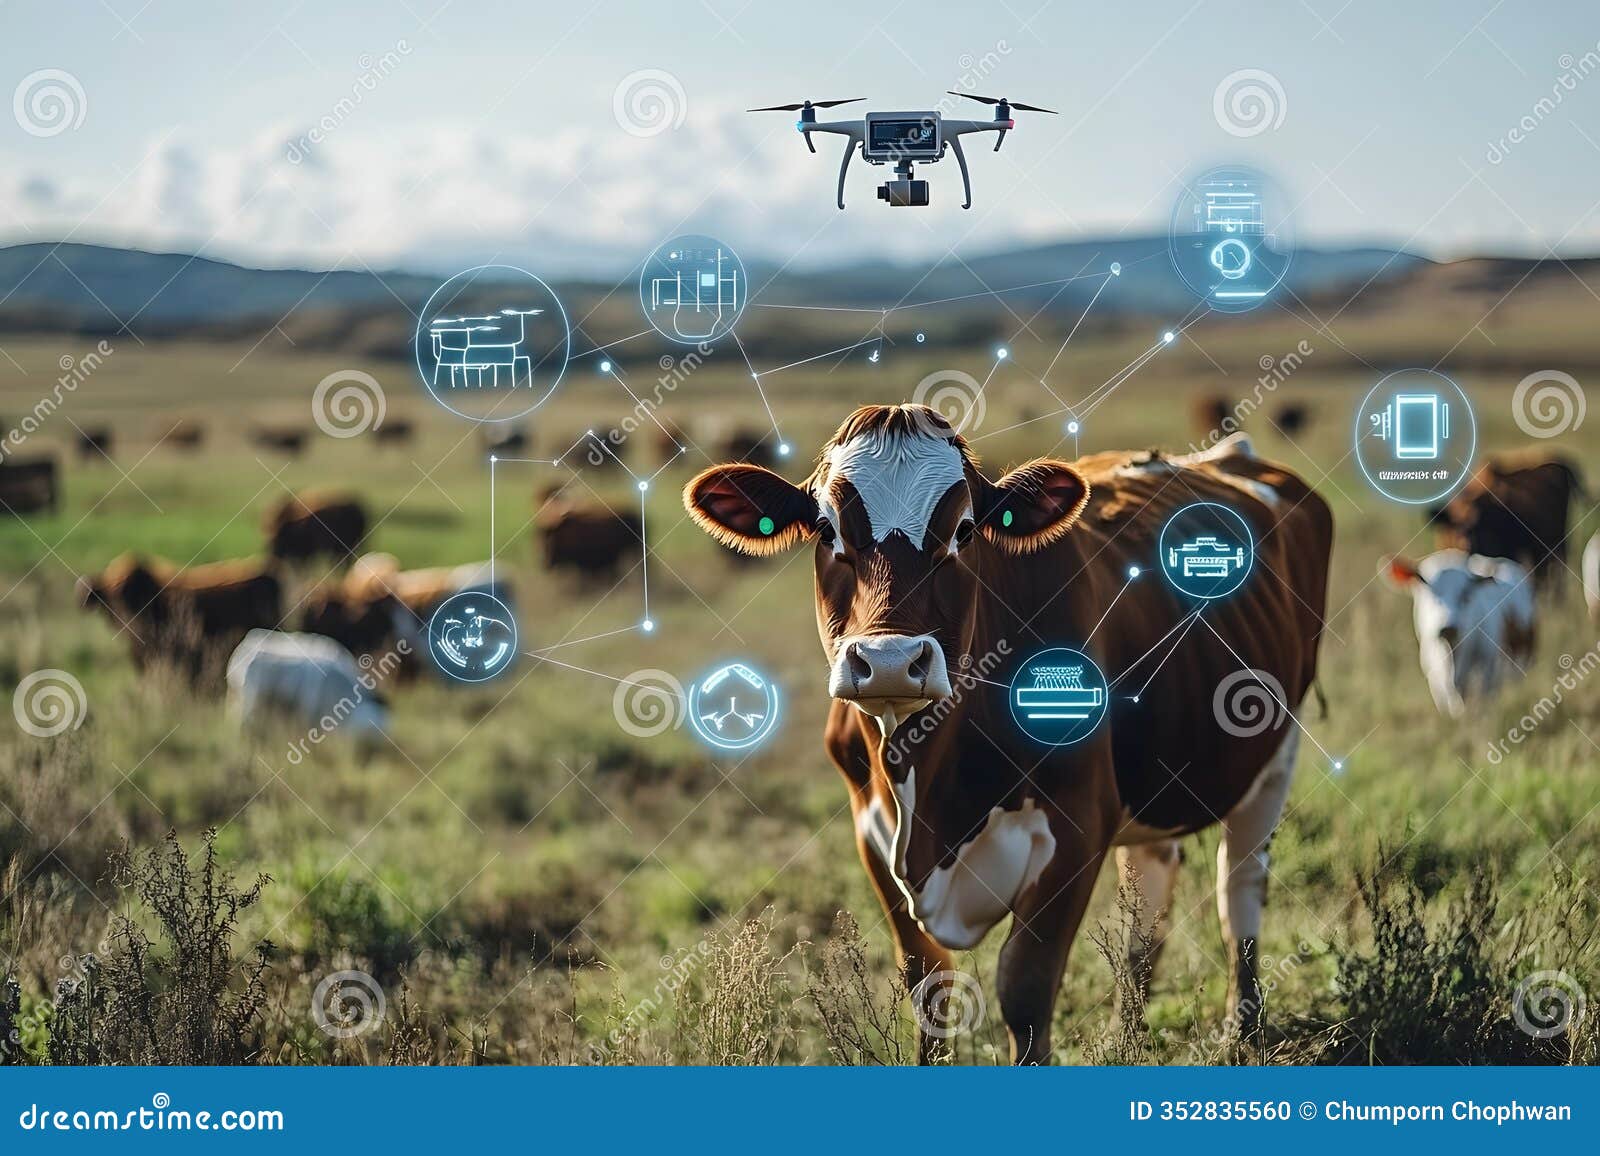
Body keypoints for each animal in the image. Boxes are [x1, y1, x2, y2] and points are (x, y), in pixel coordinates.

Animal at [683, 405, 1333, 1063]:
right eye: (824, 528)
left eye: (965, 531)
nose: (890, 661)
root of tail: (1230, 456)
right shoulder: (870, 829)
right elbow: (927, 984)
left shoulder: (1079, 822)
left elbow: (1024, 988)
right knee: (1150, 884)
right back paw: (1125, 1032)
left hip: (1274, 751)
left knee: (1240, 883)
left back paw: (1243, 1030)